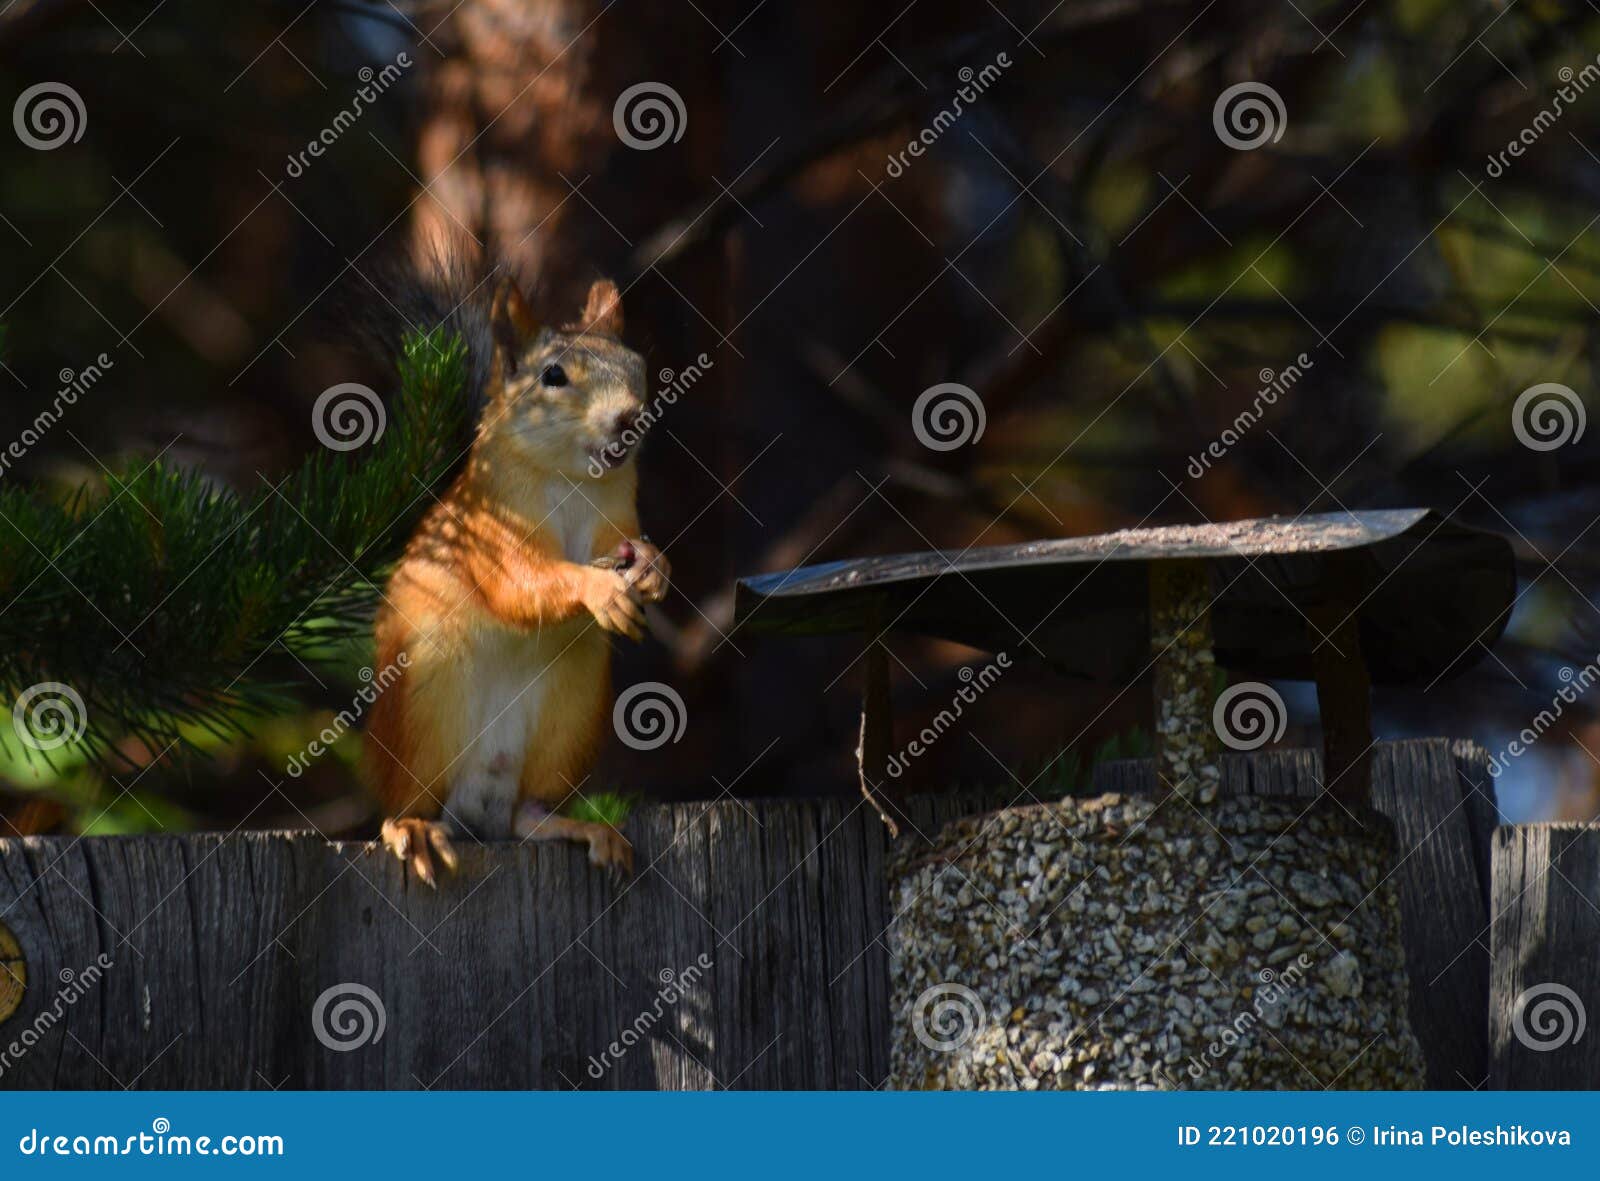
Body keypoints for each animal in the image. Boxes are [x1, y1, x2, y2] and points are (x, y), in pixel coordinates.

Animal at [364, 274, 669, 886]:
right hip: (420, 708)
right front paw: (598, 590)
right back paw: (413, 828)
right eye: (553, 375)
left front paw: (655, 566)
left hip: (570, 716)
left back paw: (579, 828)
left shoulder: (615, 520)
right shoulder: (493, 527)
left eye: (637, 365)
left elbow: (621, 547)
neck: (572, 478)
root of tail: (478, 806)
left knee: (528, 813)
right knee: (409, 798)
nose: (629, 418)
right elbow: (521, 582)